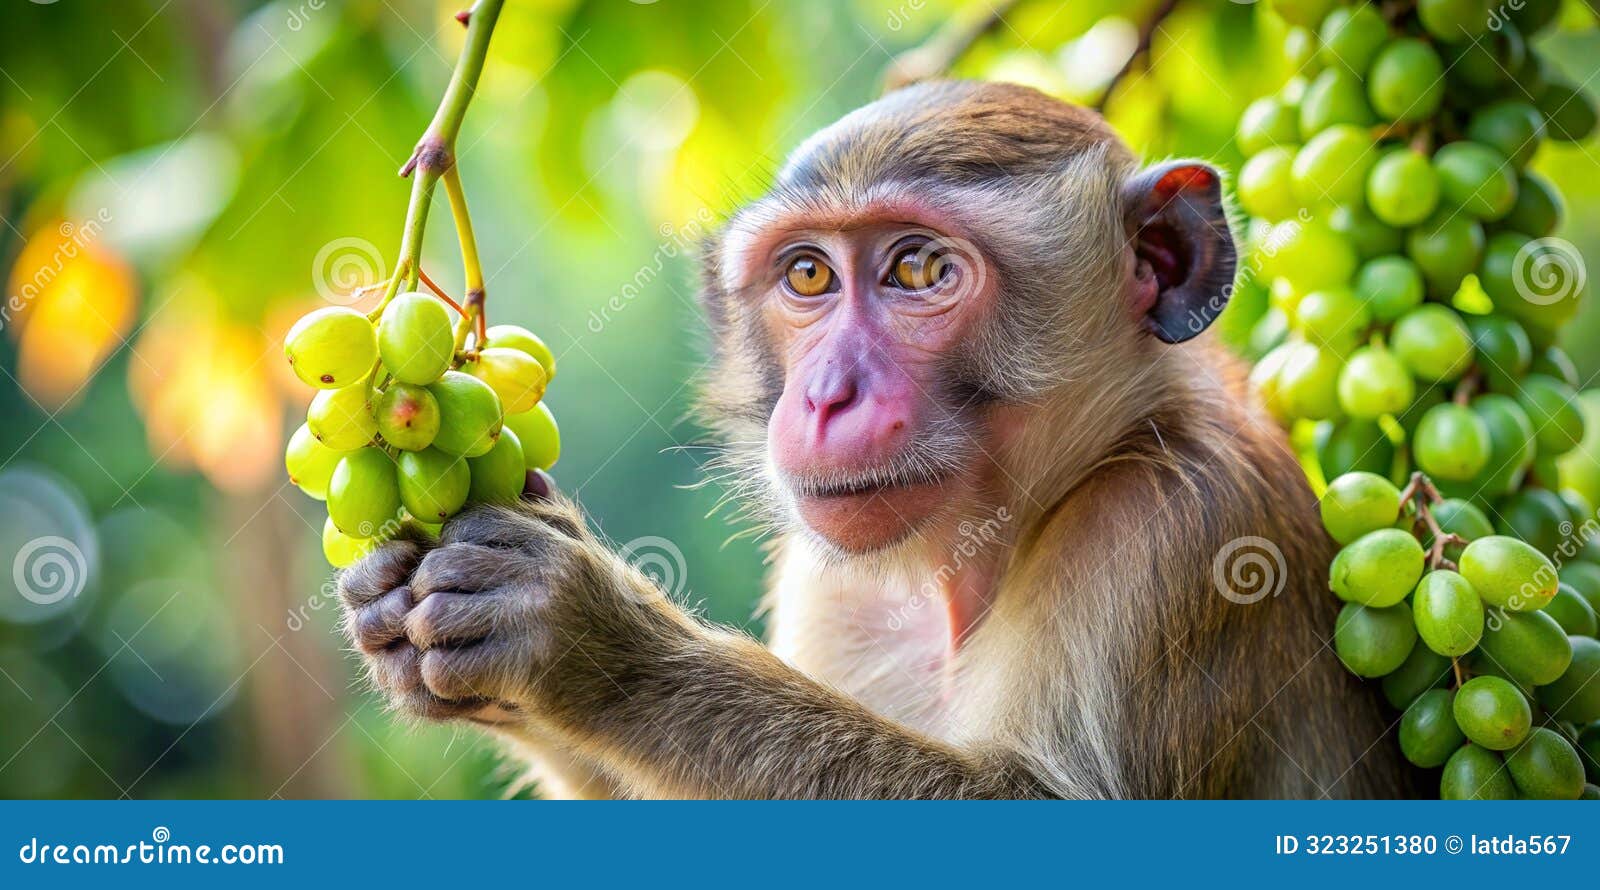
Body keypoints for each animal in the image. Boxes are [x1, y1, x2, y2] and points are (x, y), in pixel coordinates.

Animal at [337, 80, 1421, 799]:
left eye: (919, 271)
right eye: (809, 276)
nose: (824, 396)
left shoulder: (1179, 536)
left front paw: (594, 642)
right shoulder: (831, 585)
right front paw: (399, 601)